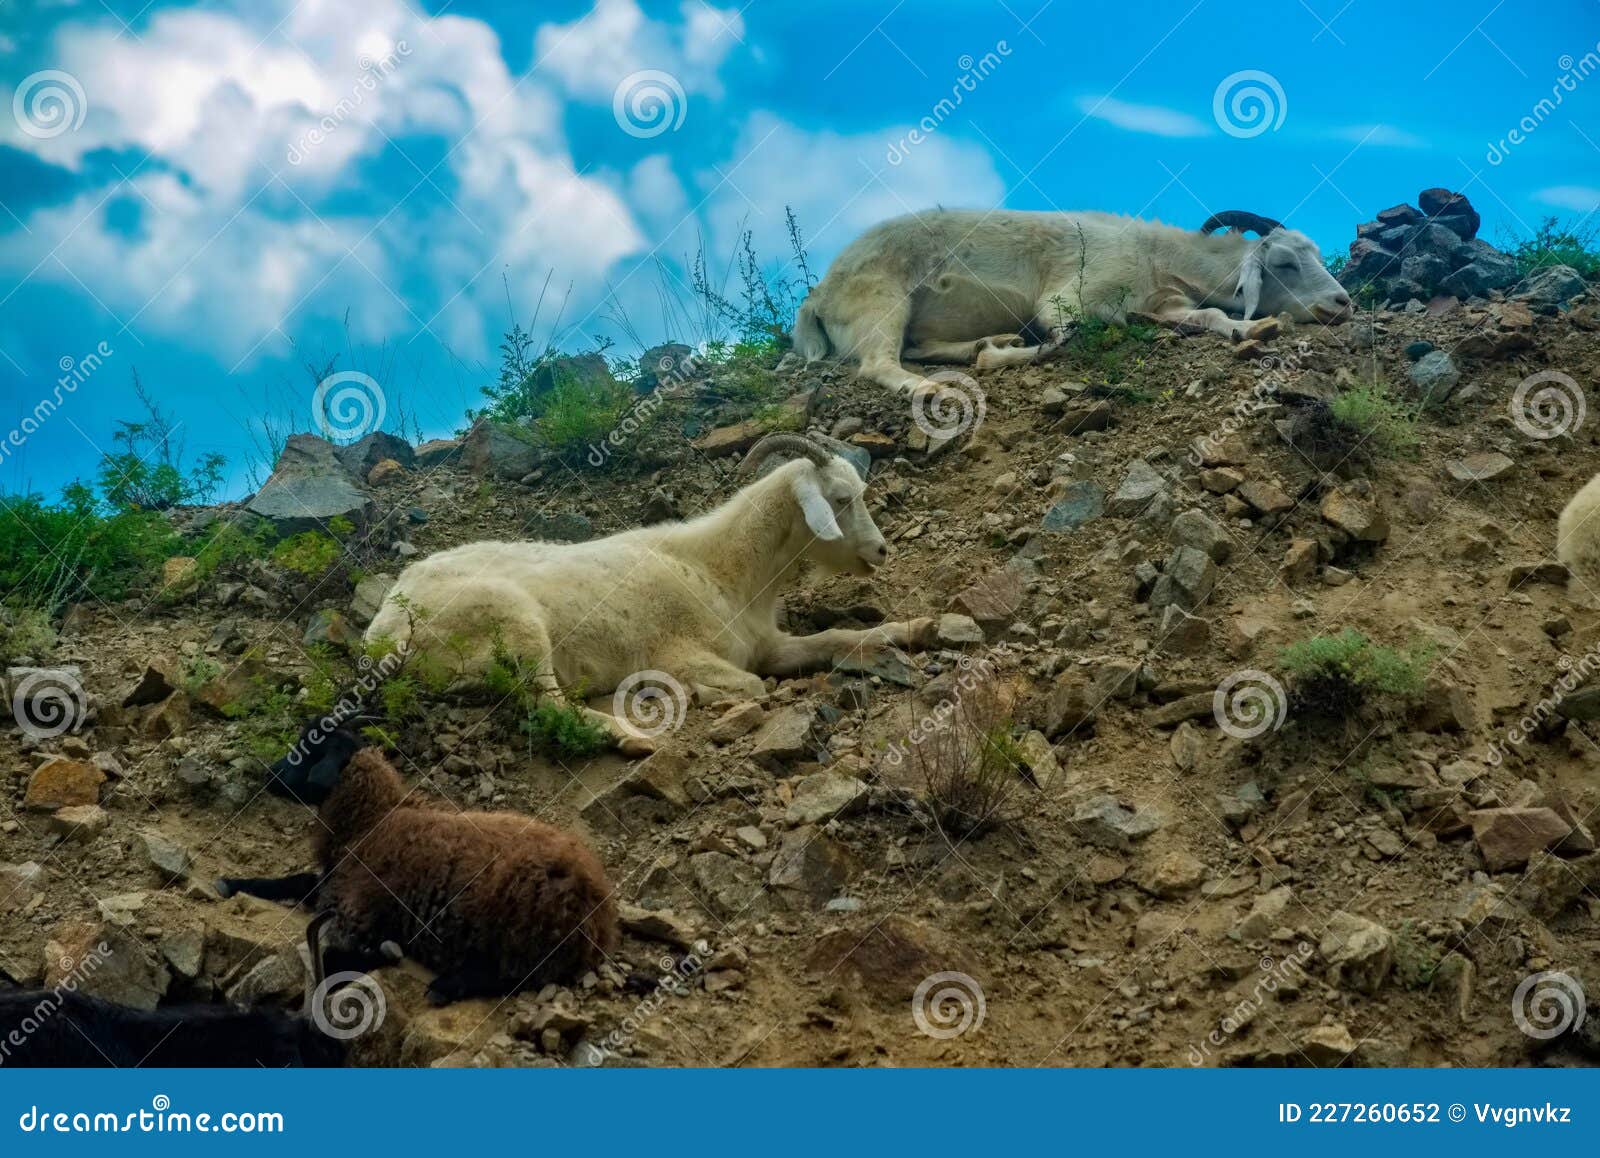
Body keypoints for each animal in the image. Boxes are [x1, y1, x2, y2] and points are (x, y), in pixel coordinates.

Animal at [218, 722, 620, 1005]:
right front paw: (232, 882)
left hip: (525, 931)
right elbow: (295, 880)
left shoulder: (358, 908)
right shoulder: (335, 882)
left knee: (515, 975)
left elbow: (335, 954)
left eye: (310, 747)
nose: (269, 774)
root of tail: (599, 908)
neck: (373, 819)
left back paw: (446, 986)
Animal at [365, 433, 935, 748]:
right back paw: (634, 737)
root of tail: (385, 630)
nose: (881, 550)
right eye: (840, 499)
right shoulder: (678, 652)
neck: (721, 568)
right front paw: (698, 693)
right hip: (512, 621)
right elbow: (752, 687)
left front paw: (917, 626)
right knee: (549, 705)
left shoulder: (767, 645)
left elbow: (837, 639)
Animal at [792, 208, 1354, 394]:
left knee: (918, 345)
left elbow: (1209, 313)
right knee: (879, 363)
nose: (1343, 302)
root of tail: (817, 296)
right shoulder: (1069, 299)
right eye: (1284, 263)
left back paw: (982, 341)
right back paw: (931, 384)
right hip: (879, 303)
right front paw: (996, 359)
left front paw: (1251, 328)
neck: (1155, 254)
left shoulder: (1167, 300)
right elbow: (1070, 335)